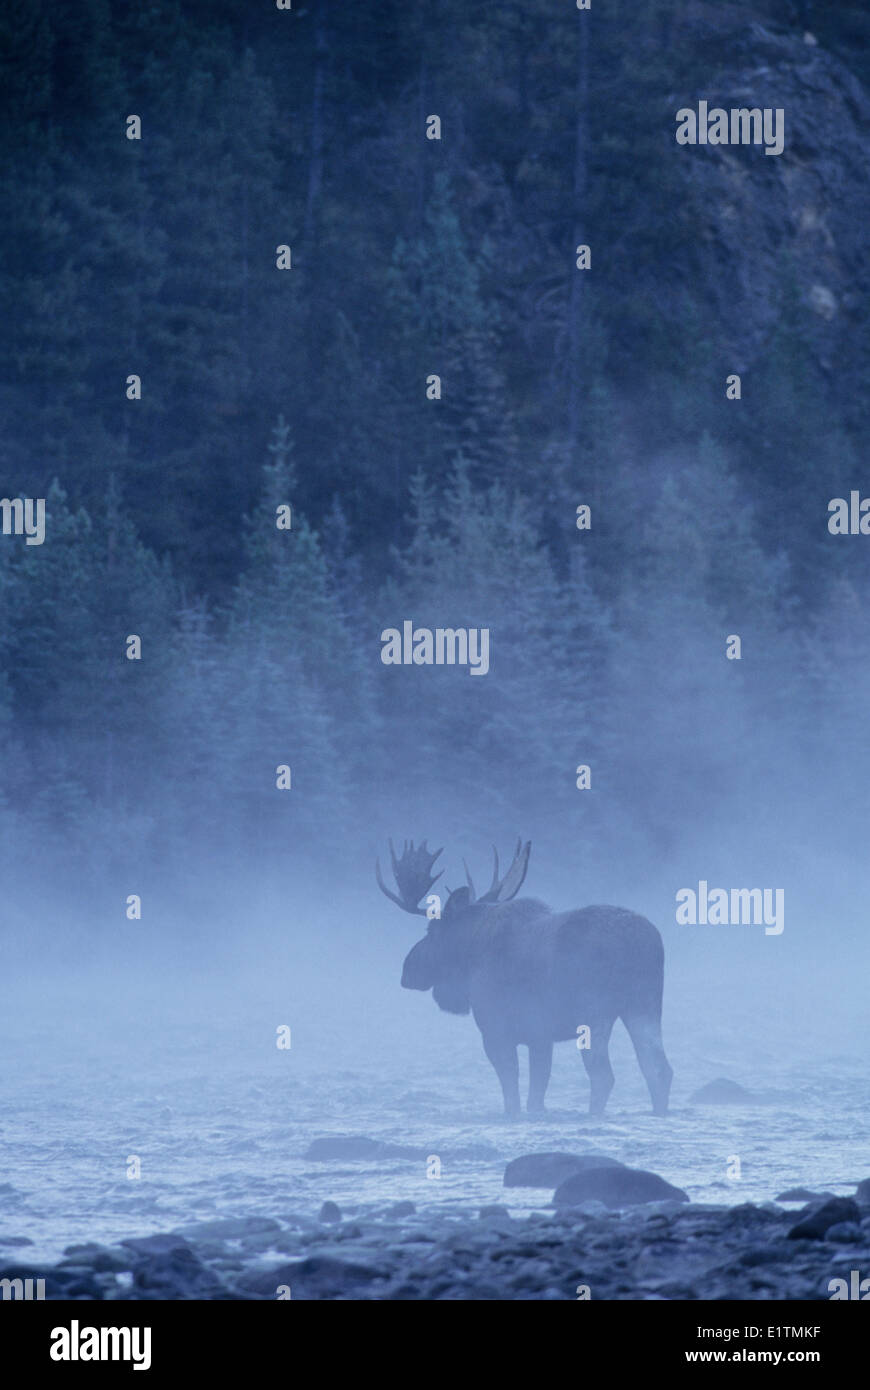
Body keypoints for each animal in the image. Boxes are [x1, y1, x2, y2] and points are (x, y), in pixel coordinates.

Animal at [376, 839, 673, 1117]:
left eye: (431, 930)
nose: (407, 970)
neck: (469, 955)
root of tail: (644, 942)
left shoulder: (495, 1030)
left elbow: (512, 1092)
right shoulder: (540, 1036)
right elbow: (536, 1093)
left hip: (595, 1013)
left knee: (603, 1075)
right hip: (643, 1005)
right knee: (658, 1068)